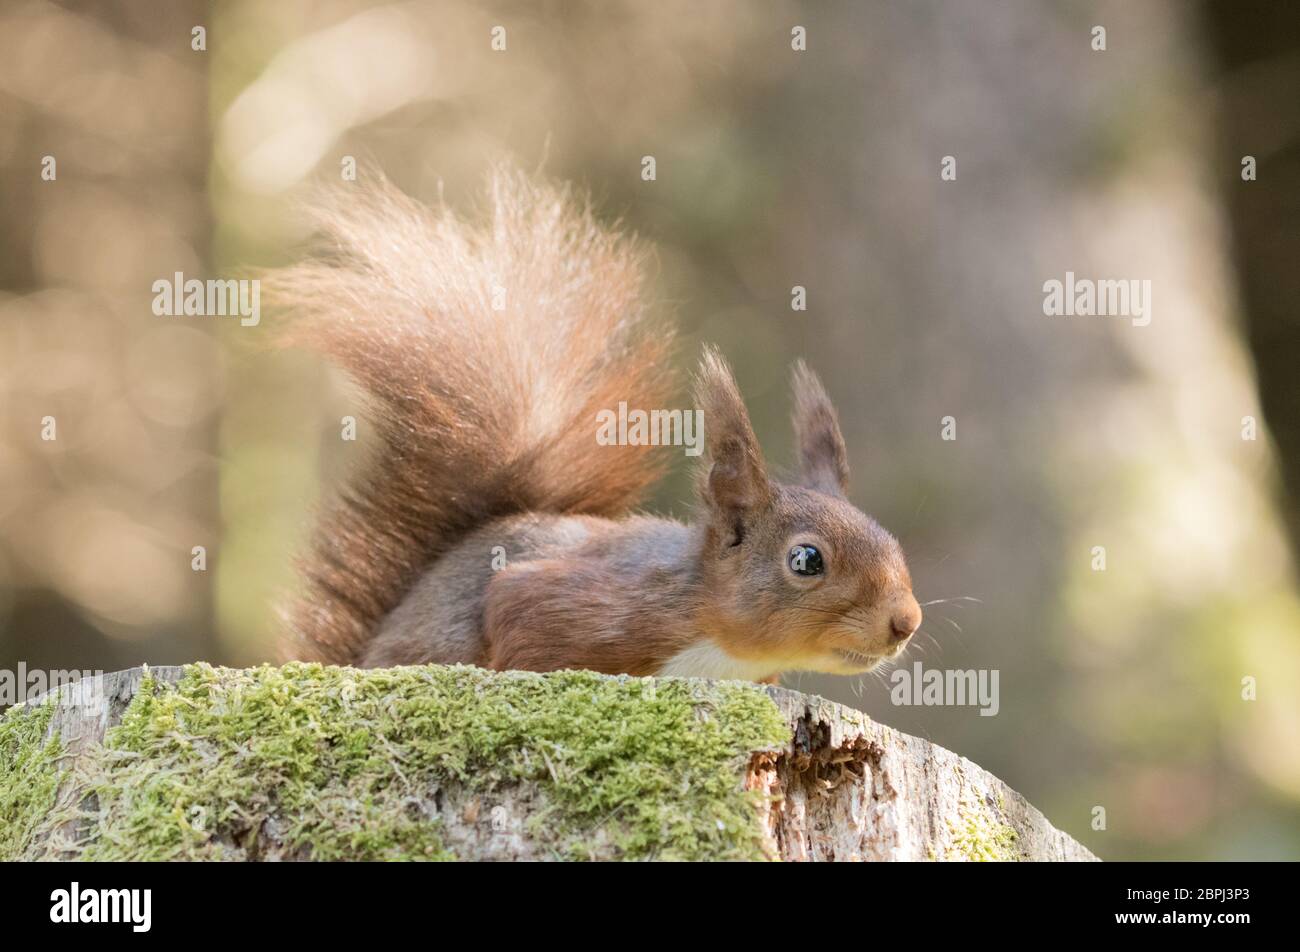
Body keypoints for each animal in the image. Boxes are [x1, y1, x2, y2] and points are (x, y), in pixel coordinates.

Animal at [270, 166, 921, 683]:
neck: (713, 634)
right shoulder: (585, 602)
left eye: (892, 539)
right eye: (806, 561)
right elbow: (517, 624)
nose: (906, 621)